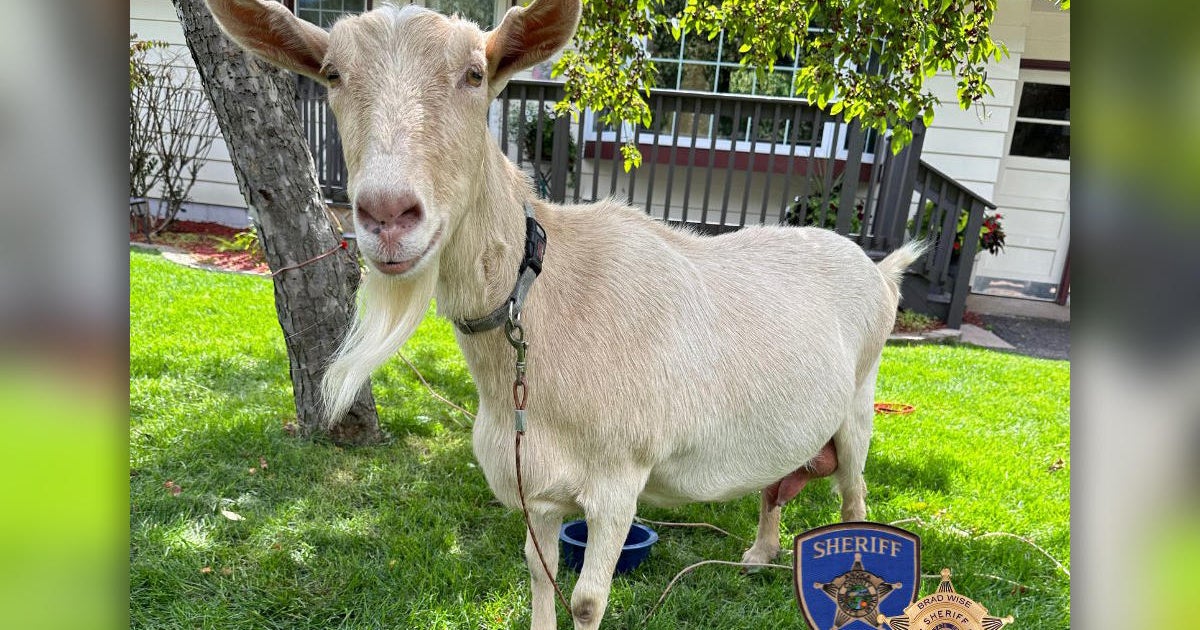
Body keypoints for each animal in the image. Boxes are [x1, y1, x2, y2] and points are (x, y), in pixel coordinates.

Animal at [206, 1, 924, 627]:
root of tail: (877, 267)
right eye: (331, 74)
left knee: (855, 495)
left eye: (475, 74)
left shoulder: (618, 481)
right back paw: (758, 553)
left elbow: (585, 600)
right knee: (776, 488)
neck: (543, 307)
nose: (387, 214)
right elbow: (538, 577)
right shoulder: (539, 488)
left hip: (858, 409)